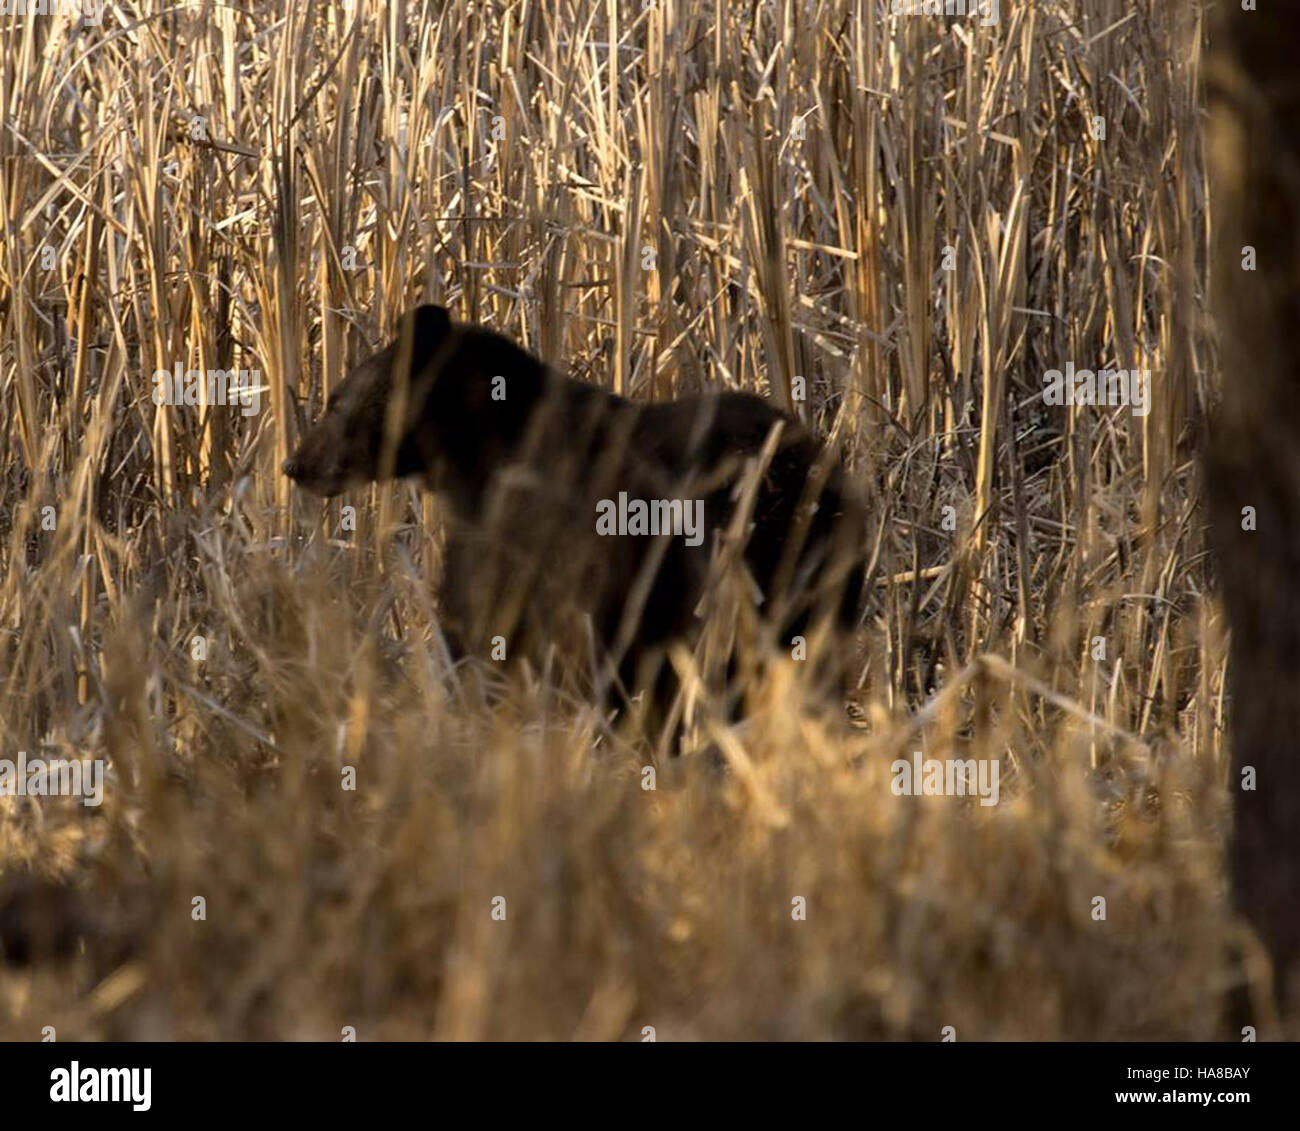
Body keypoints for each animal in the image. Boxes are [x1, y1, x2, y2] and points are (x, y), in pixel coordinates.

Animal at [283, 304, 866, 742]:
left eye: (336, 400)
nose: (294, 463)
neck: (472, 452)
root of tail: (793, 475)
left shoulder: (532, 541)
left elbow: (491, 622)